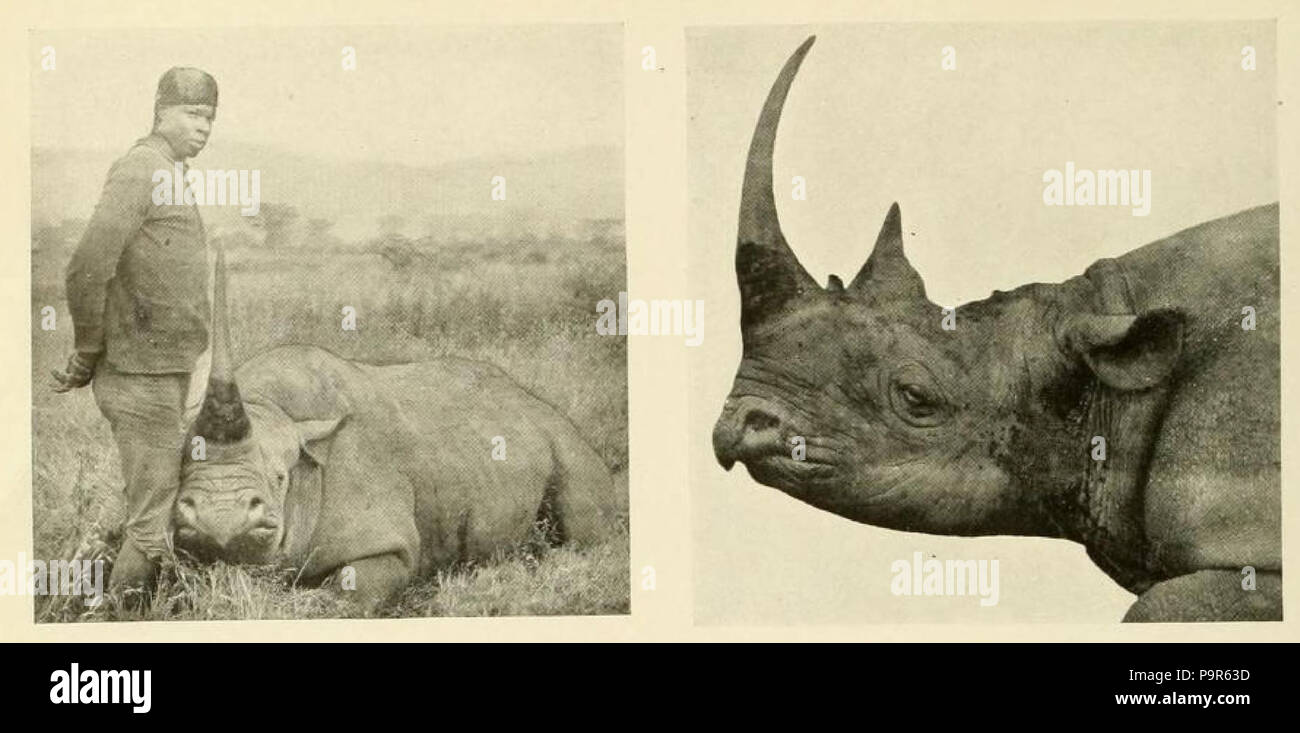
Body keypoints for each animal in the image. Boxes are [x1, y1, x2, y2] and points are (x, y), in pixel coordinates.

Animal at [173, 245, 620, 611]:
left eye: (280, 478)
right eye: (180, 479)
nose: (220, 524)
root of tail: (535, 401)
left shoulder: (389, 542)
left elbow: (346, 595)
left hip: (561, 435)